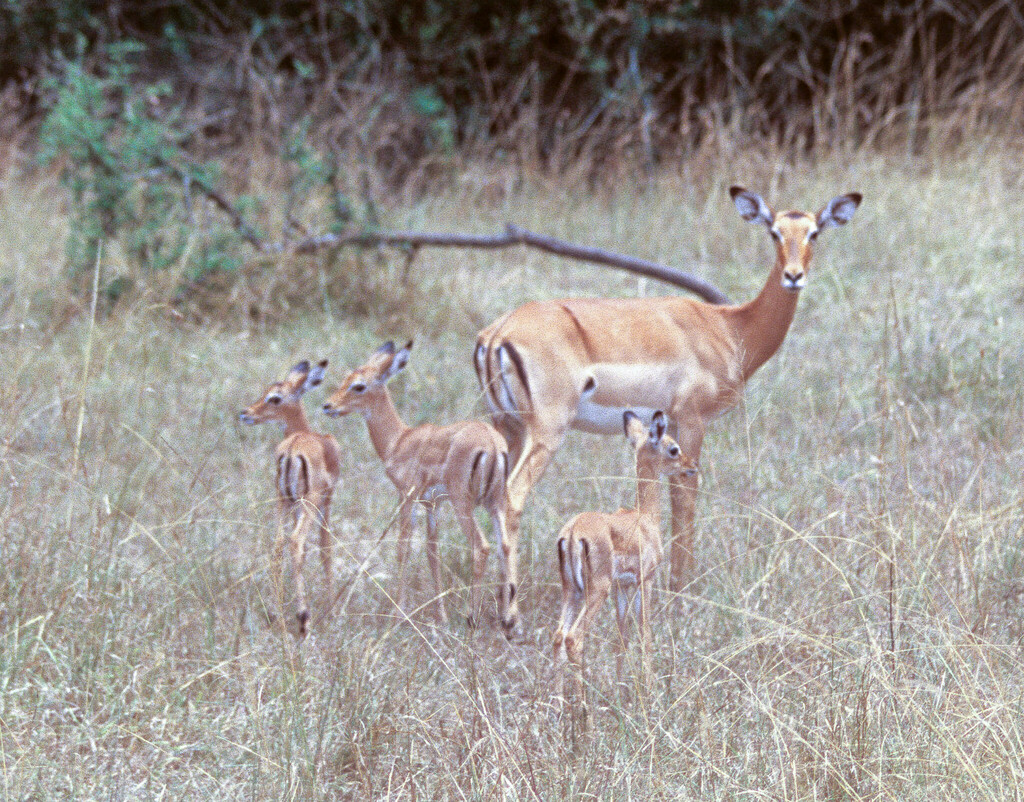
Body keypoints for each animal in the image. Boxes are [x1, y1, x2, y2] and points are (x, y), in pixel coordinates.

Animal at [239, 359, 341, 635]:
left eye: (274, 397)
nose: (246, 413)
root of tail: (293, 448)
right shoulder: (326, 502)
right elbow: (325, 548)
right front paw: (332, 610)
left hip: (282, 500)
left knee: (277, 546)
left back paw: (278, 615)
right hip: (308, 502)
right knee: (295, 541)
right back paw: (303, 618)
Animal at [322, 341, 518, 634]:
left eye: (359, 385)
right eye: (345, 378)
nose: (328, 405)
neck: (399, 440)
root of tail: (492, 443)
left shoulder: (406, 497)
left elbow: (402, 548)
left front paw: (397, 614)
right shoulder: (432, 504)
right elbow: (431, 551)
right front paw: (441, 616)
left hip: (464, 504)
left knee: (481, 547)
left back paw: (471, 617)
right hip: (494, 503)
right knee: (504, 546)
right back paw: (506, 619)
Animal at [475, 185, 861, 591]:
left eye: (814, 232)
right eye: (774, 231)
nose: (794, 276)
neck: (730, 328)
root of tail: (499, 332)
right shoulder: (692, 419)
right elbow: (685, 495)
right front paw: (681, 585)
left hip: (507, 426)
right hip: (547, 431)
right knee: (512, 497)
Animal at [552, 410, 697, 696]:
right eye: (673, 448)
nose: (691, 465)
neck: (645, 518)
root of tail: (573, 531)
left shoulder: (622, 587)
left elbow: (621, 636)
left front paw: (621, 689)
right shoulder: (645, 581)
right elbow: (645, 634)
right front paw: (649, 689)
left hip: (572, 590)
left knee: (558, 637)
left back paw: (557, 701)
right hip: (597, 590)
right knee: (574, 638)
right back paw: (581, 705)